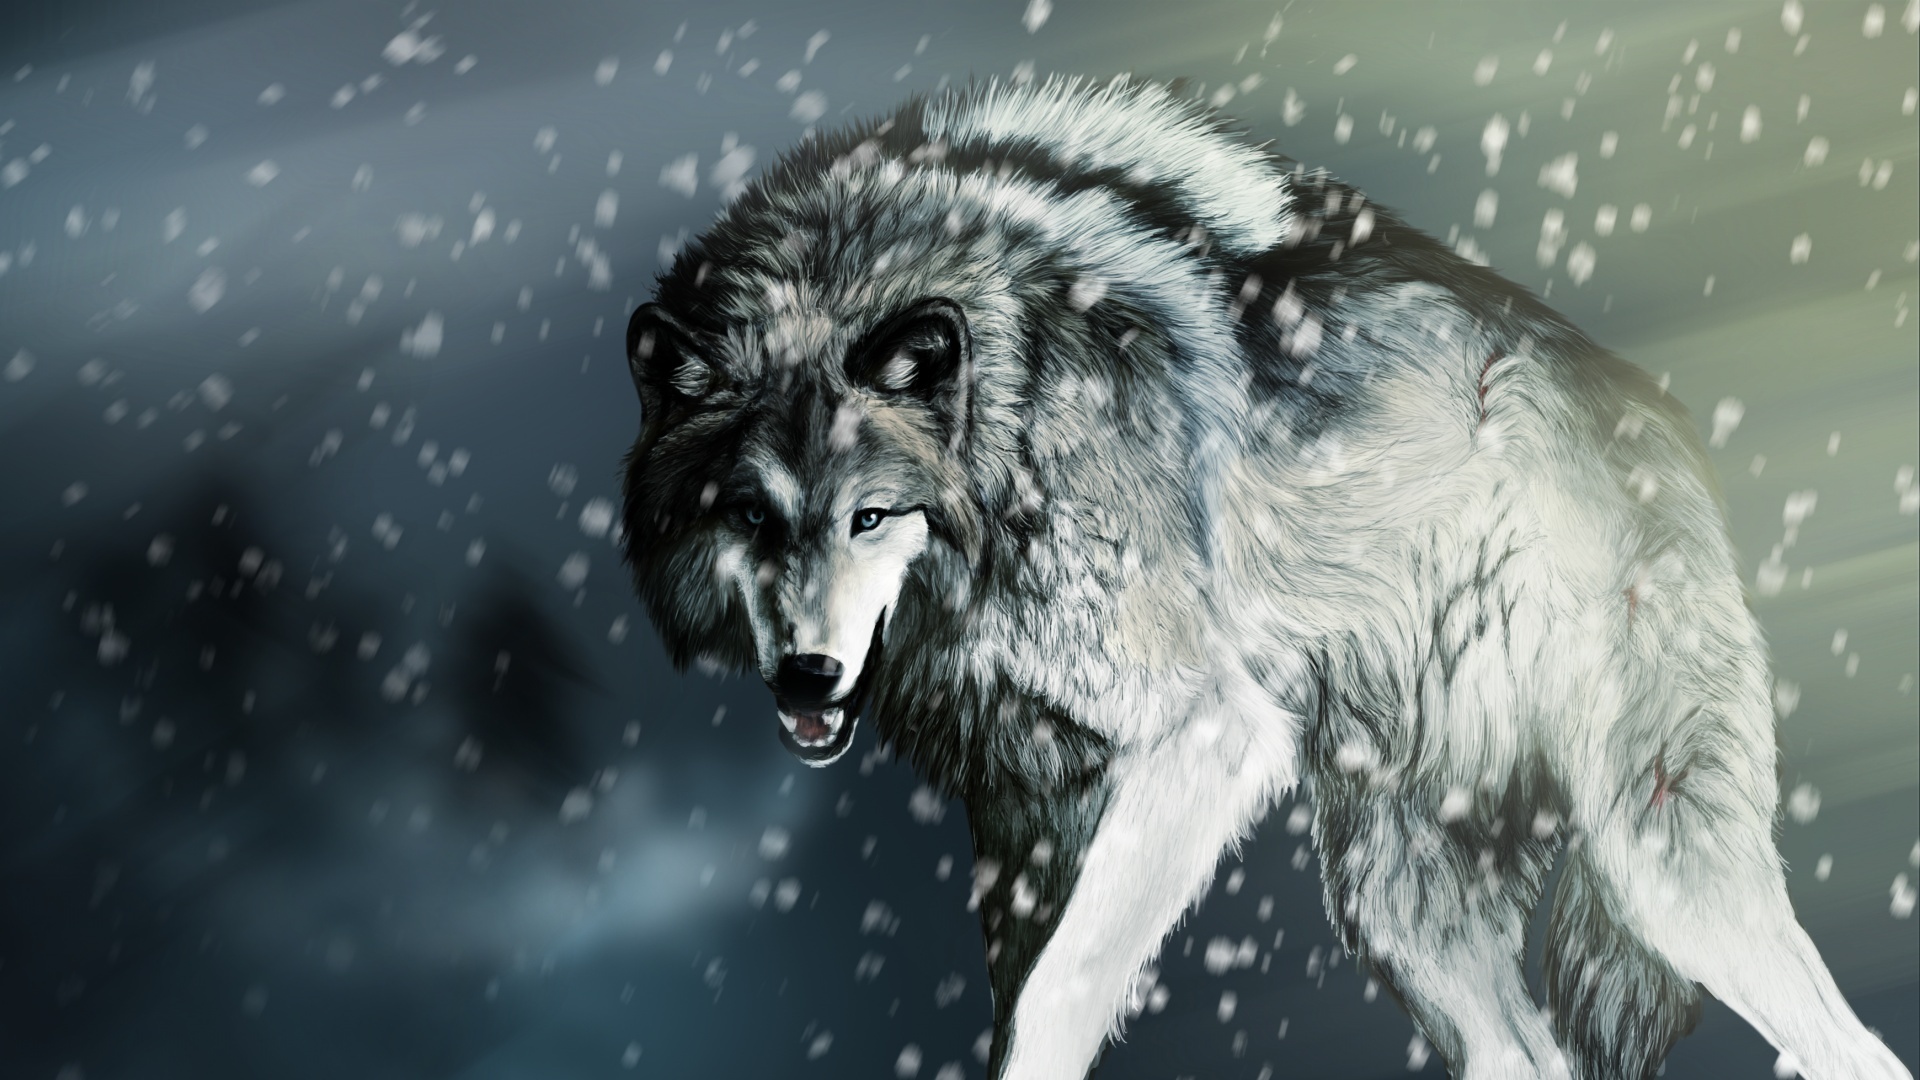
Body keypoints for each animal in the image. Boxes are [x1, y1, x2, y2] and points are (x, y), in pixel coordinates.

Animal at [618, 77, 1910, 1080]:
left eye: (872, 515)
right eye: (750, 515)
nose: (807, 674)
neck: (1015, 424)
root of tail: (1663, 419)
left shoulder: (1206, 737)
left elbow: (1060, 996)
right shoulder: (1024, 815)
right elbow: (1021, 1000)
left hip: (1659, 867)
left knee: (1851, 1045)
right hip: (1399, 906)